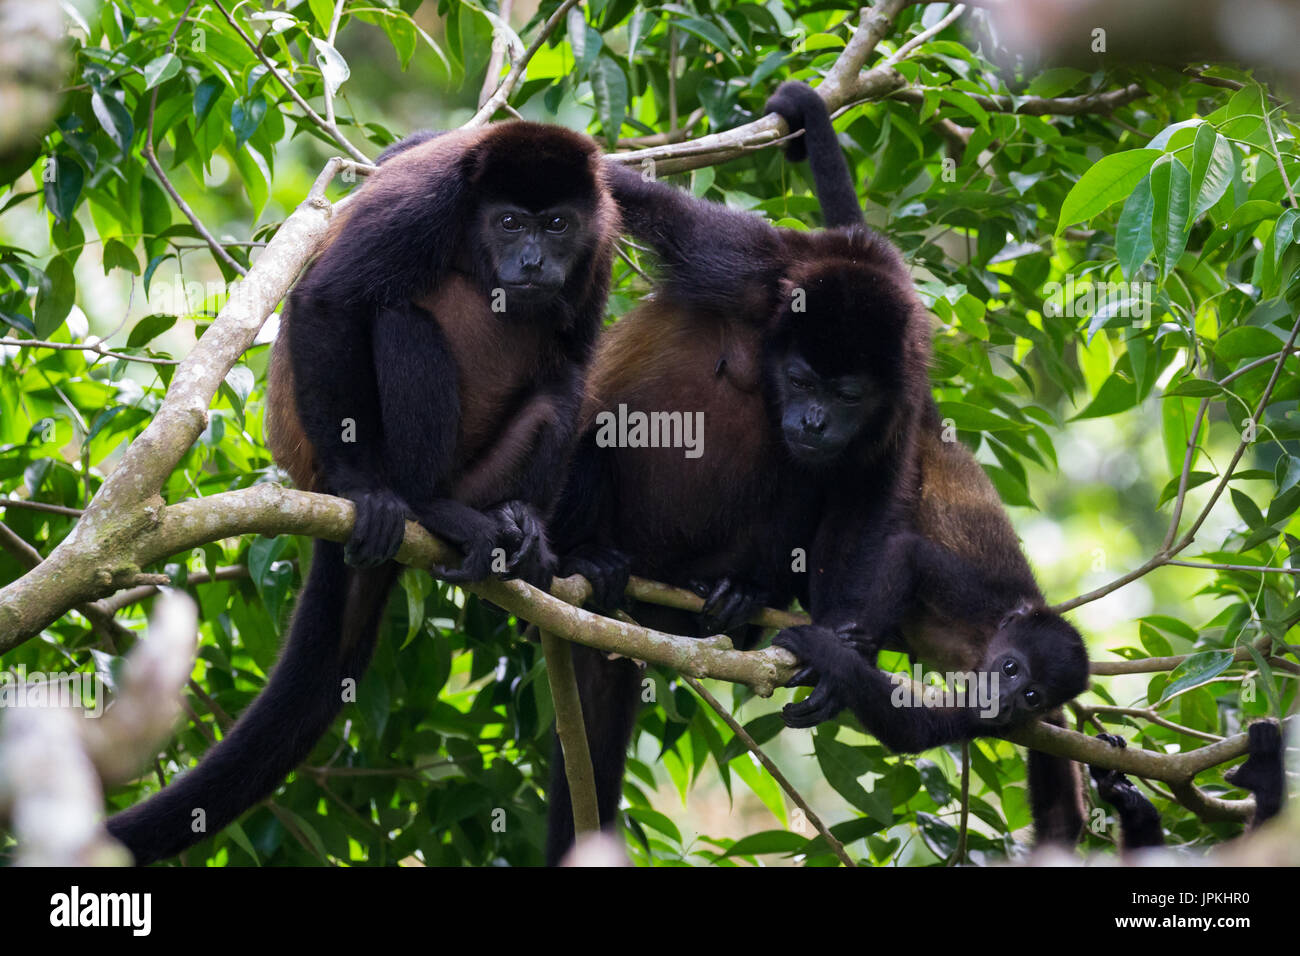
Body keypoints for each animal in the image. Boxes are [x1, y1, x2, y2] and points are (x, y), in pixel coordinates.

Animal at [104, 122, 620, 864]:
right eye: (509, 222)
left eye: (556, 225)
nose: (530, 261)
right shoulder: (425, 203)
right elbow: (330, 299)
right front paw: (366, 489)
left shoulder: (601, 239)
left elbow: (577, 356)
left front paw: (533, 531)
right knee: (399, 317)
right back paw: (422, 505)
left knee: (560, 383)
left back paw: (511, 525)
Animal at [544, 82, 932, 864]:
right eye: (803, 379)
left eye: (848, 395)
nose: (812, 421)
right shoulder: (750, 263)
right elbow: (634, 201)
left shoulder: (905, 385)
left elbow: (866, 500)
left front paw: (838, 655)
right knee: (593, 425)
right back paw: (589, 561)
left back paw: (739, 598)